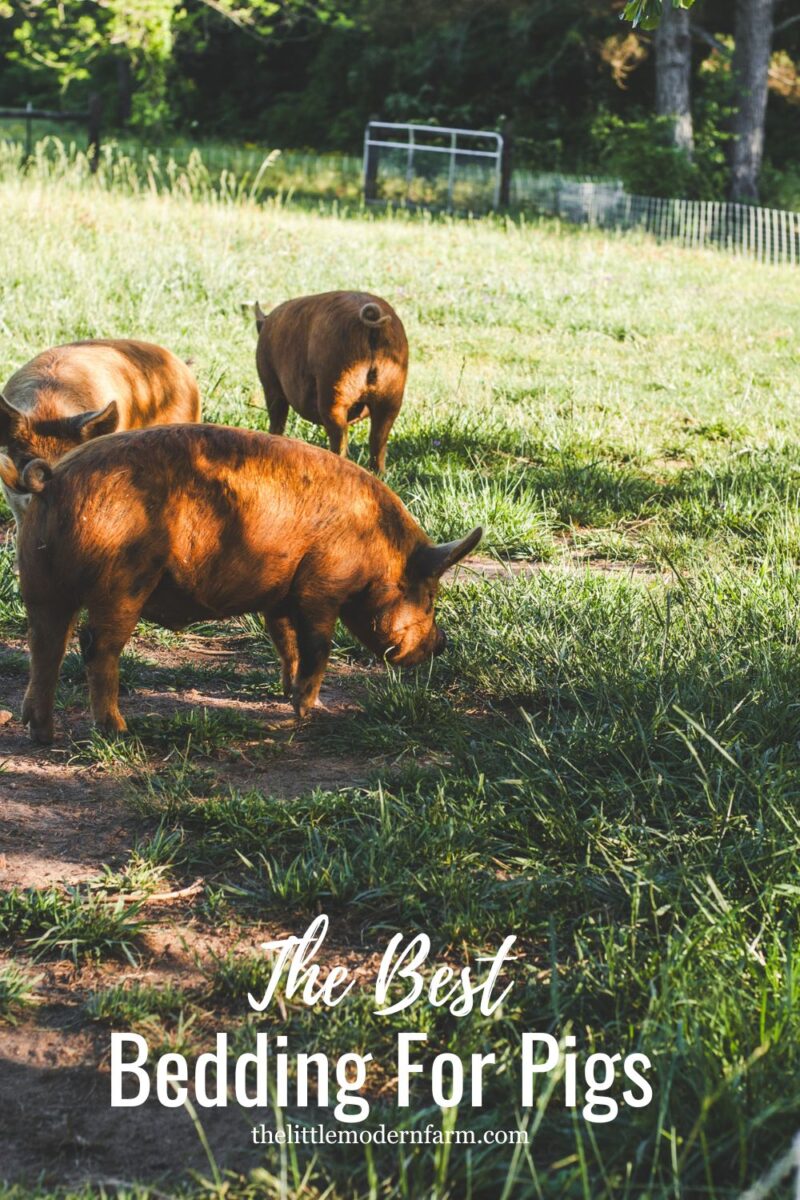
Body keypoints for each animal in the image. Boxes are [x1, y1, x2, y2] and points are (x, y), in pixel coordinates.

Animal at [0, 425, 481, 744]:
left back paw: (42, 733)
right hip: (122, 582)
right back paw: (118, 730)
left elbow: (284, 640)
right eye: (429, 596)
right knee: (95, 646)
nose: (442, 643)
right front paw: (307, 709)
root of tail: (52, 481)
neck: (376, 548)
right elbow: (317, 644)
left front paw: (290, 694)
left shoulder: (282, 595)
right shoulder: (321, 586)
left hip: (39, 582)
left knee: (45, 646)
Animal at [254, 290, 408, 473]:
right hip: (391, 394)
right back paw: (377, 473)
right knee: (378, 438)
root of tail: (371, 325)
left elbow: (277, 419)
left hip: (334, 385)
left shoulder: (270, 382)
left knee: (339, 436)